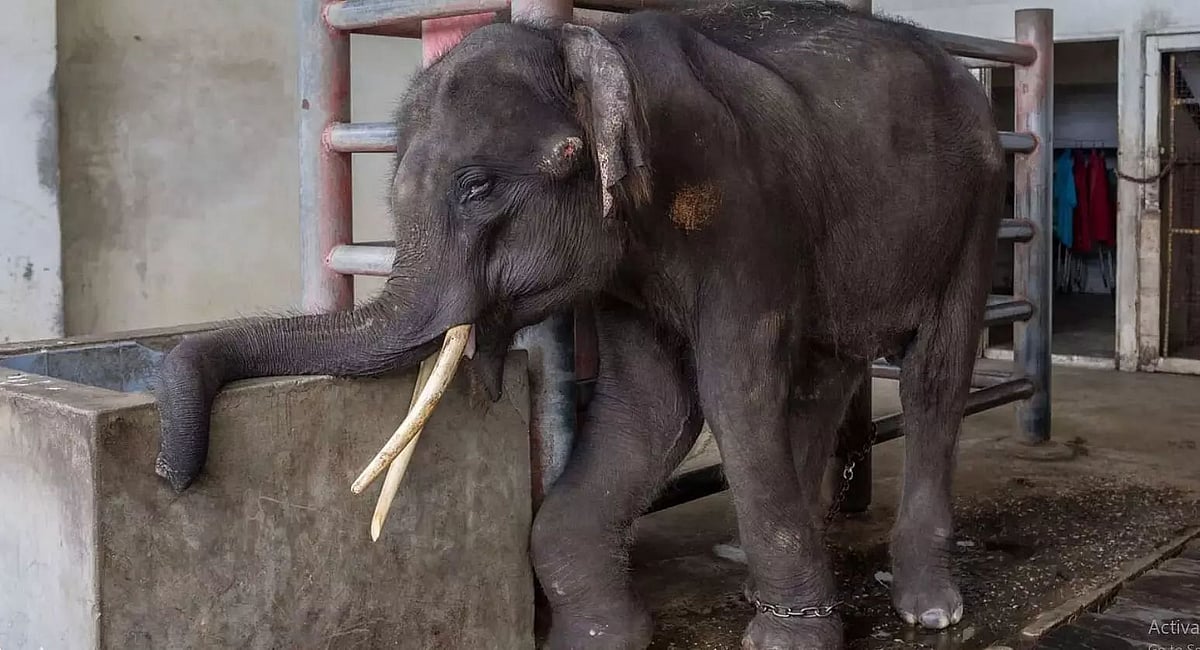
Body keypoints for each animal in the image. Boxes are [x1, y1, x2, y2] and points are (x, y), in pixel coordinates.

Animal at [153, 1, 1006, 648]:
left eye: (477, 187)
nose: (172, 475)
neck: (597, 50)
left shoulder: (744, 211)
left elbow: (734, 393)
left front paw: (787, 642)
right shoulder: (629, 262)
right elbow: (647, 406)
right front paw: (599, 637)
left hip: (977, 206)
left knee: (934, 376)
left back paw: (930, 607)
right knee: (827, 374)